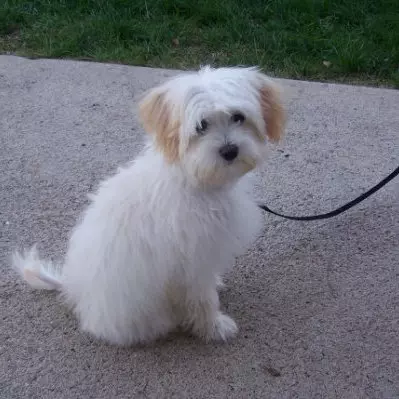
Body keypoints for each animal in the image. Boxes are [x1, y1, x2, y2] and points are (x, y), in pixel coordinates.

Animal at [11, 66, 284, 346]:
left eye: (238, 117)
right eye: (201, 126)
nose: (230, 150)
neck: (194, 180)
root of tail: (74, 287)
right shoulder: (192, 263)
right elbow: (203, 298)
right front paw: (213, 328)